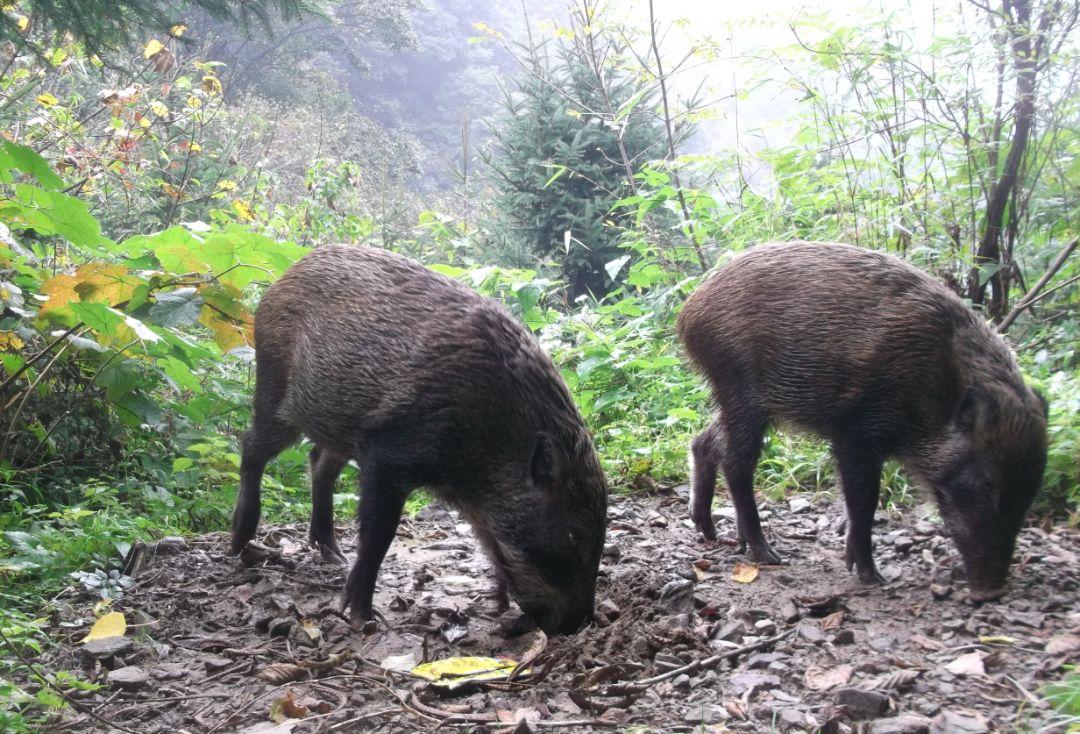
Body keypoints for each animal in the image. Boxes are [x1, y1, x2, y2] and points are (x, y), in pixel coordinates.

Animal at [230, 244, 607, 634]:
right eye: (573, 534)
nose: (579, 623)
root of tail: (283, 278)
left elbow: (489, 544)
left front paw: (498, 605)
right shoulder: (386, 455)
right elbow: (379, 535)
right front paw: (364, 617)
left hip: (338, 425)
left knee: (318, 463)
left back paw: (333, 555)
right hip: (275, 392)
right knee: (251, 446)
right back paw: (240, 545)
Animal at [677, 241, 1047, 602]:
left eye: (1031, 488)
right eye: (986, 483)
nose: (991, 592)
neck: (937, 391)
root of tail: (689, 310)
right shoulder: (856, 433)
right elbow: (864, 500)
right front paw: (872, 577)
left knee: (704, 442)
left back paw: (710, 531)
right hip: (742, 391)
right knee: (736, 464)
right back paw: (767, 554)